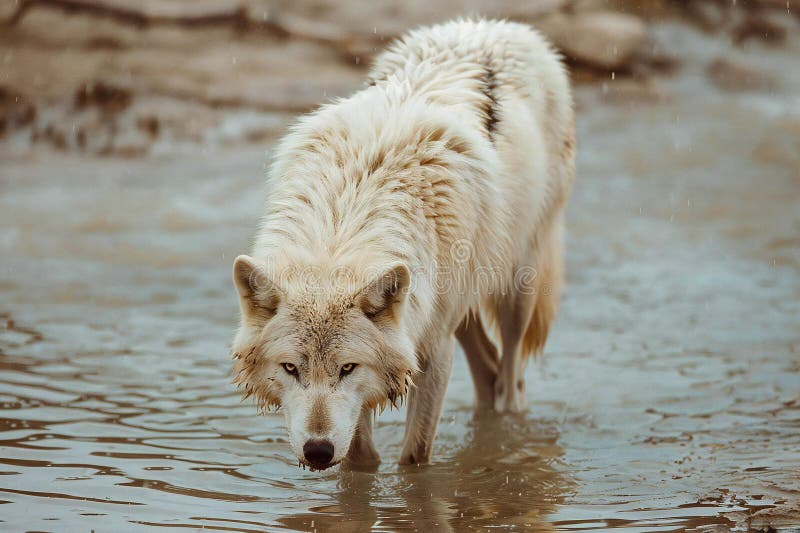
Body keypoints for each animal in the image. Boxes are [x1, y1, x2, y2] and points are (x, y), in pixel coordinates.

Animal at [230, 19, 574, 470]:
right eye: (290, 368)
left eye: (347, 368)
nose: (318, 452)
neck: (345, 216)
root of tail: (488, 24)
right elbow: (360, 458)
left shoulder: (433, 352)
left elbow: (415, 459)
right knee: (488, 370)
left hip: (515, 289)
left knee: (510, 382)